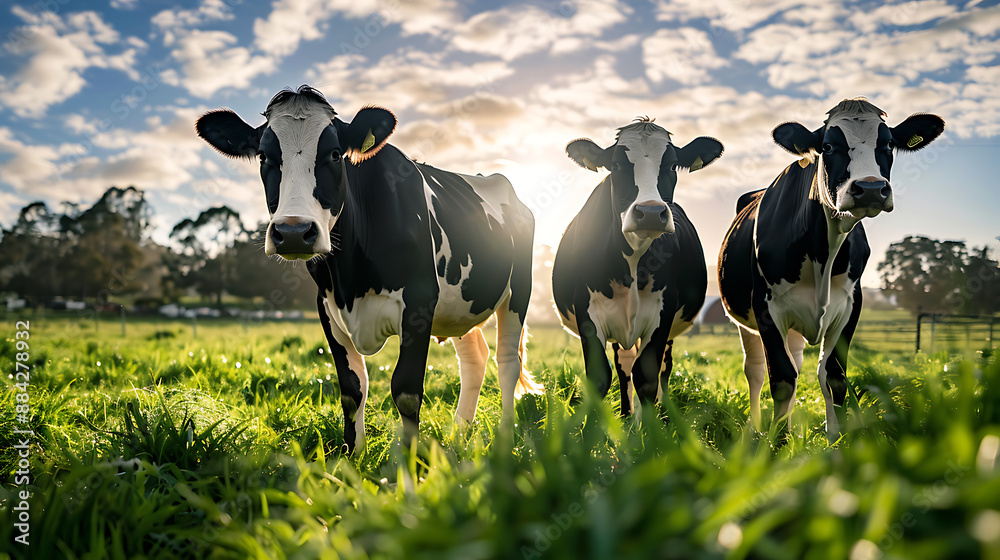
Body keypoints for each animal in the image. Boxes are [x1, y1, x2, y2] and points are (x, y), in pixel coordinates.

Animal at [195, 85, 542, 452]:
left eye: (335, 154)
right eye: (263, 156)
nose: (293, 232)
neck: (352, 280)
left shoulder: (420, 301)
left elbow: (405, 390)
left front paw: (411, 459)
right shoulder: (326, 306)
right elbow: (352, 388)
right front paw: (352, 454)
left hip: (518, 293)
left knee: (508, 362)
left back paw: (504, 438)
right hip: (459, 306)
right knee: (474, 358)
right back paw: (459, 436)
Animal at [552, 118, 724, 416]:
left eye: (672, 165)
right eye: (617, 165)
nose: (651, 213)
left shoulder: (663, 312)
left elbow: (647, 377)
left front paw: (649, 428)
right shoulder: (586, 310)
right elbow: (600, 377)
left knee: (663, 367)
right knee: (624, 366)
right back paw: (626, 414)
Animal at [718, 98, 944, 442]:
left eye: (888, 143)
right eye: (827, 146)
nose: (870, 188)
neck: (825, 251)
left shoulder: (851, 304)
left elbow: (833, 375)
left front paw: (836, 439)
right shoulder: (766, 308)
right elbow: (781, 379)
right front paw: (776, 443)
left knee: (797, 361)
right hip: (743, 320)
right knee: (755, 370)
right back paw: (757, 426)